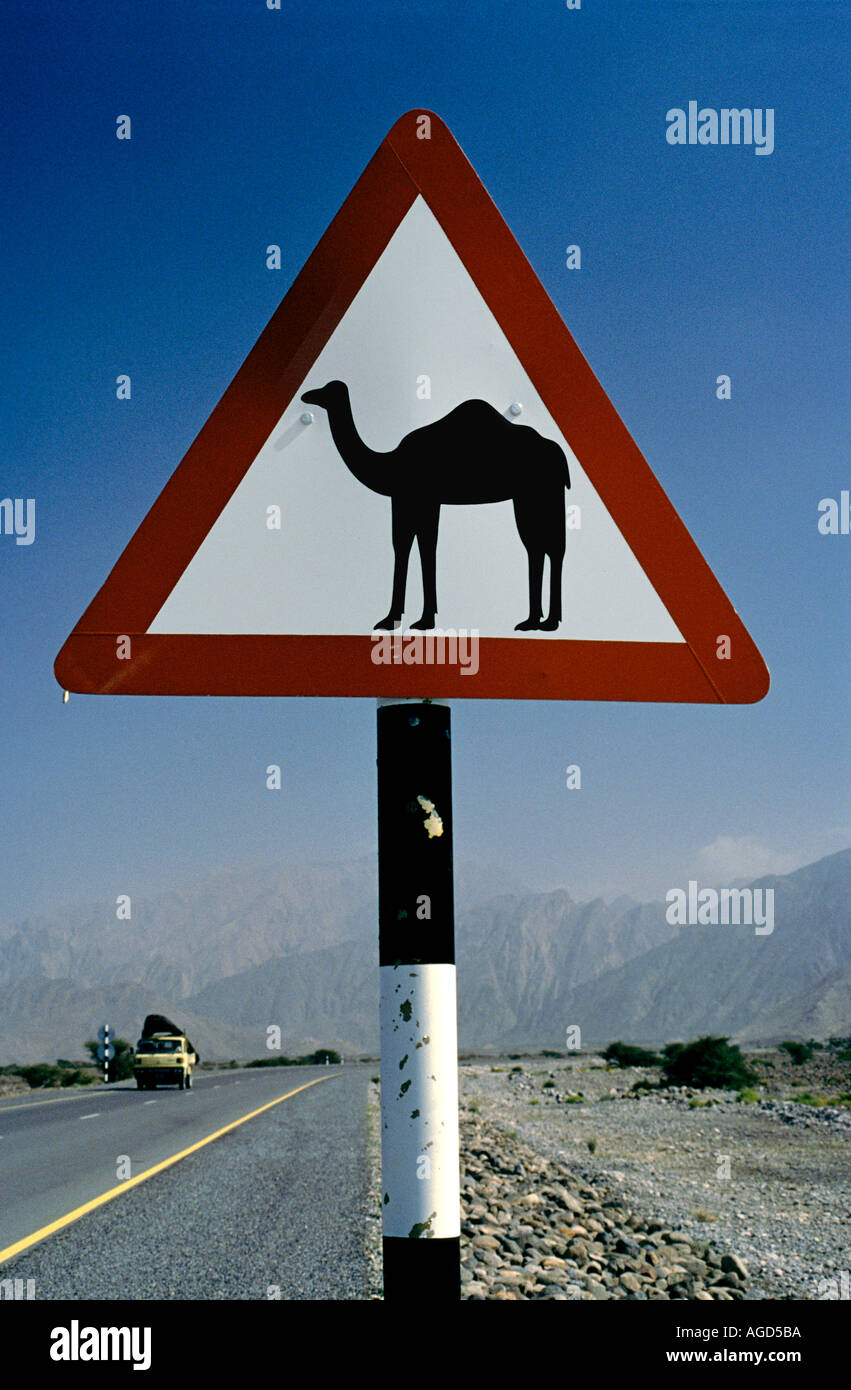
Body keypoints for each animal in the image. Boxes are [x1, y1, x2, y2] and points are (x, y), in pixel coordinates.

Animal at [300, 380, 571, 631]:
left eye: (328, 389)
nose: (306, 395)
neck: (390, 464)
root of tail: (560, 457)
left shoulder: (417, 497)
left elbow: (417, 546)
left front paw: (413, 620)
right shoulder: (415, 500)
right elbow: (415, 546)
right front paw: (405, 618)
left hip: (540, 493)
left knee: (552, 547)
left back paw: (549, 622)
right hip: (531, 497)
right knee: (537, 546)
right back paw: (533, 621)